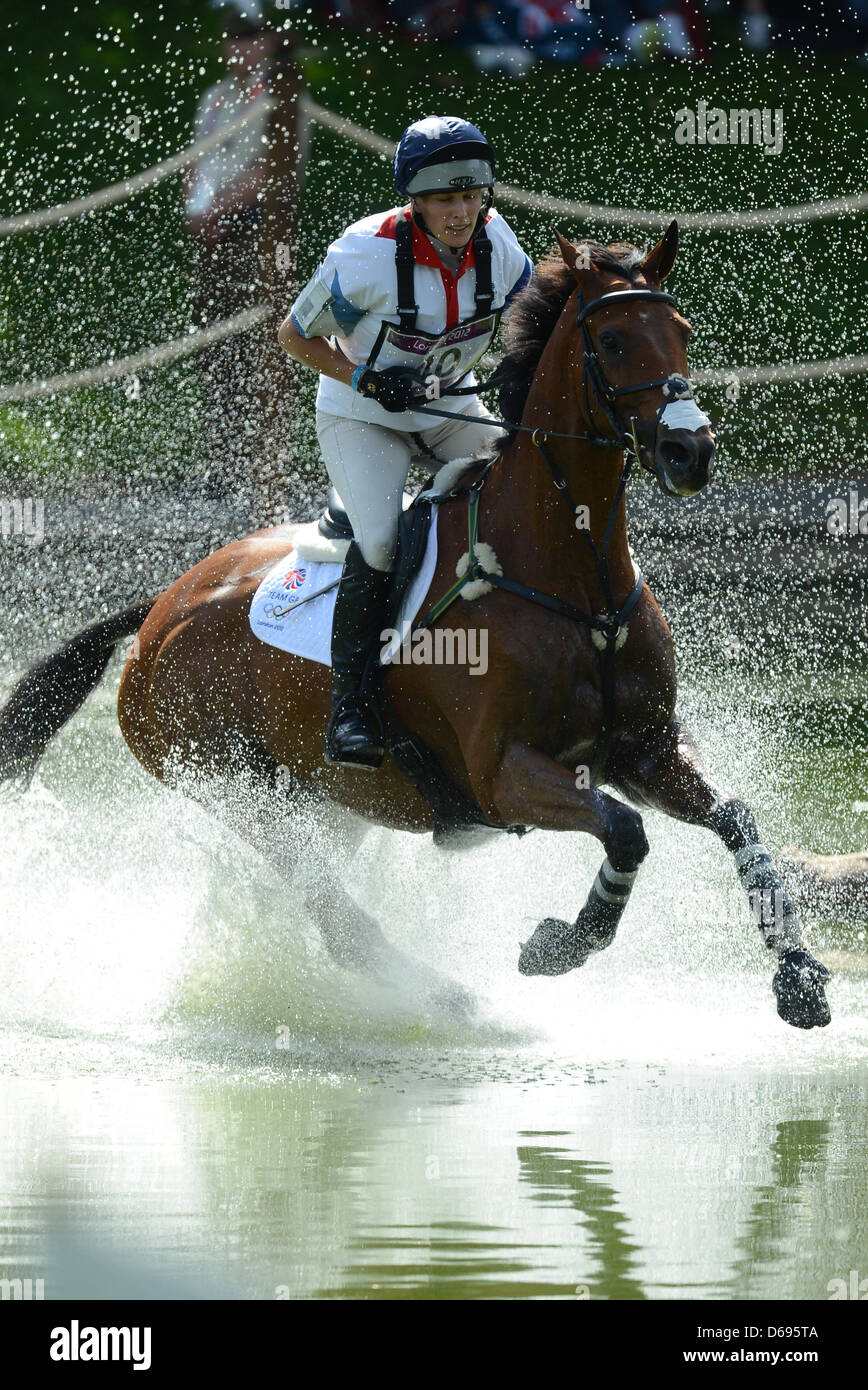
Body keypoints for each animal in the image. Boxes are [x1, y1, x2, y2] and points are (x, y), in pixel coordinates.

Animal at [0, 220, 831, 1029]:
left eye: (681, 331)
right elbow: (625, 829)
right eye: (614, 340)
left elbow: (736, 819)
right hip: (239, 792)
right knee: (329, 913)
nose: (690, 451)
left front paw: (798, 977)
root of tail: (158, 613)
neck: (569, 575)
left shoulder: (647, 748)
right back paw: (441, 998)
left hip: (329, 798)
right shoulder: (503, 776)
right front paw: (561, 944)